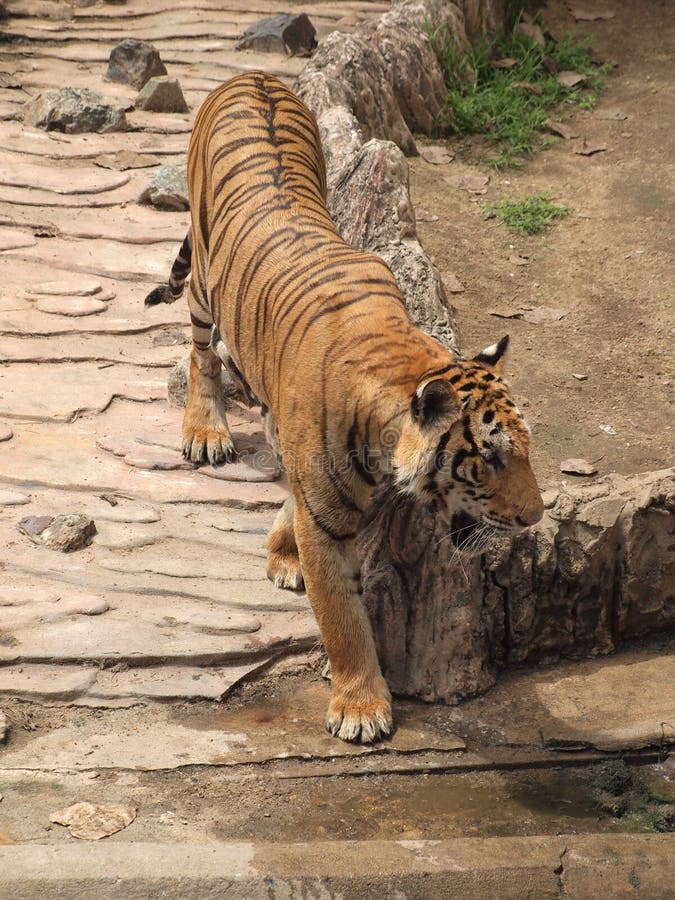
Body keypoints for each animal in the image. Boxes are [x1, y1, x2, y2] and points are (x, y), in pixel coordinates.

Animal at [145, 71, 544, 743]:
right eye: (489, 458)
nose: (535, 518)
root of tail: (253, 76)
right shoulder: (331, 521)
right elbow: (343, 617)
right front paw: (361, 709)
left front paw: (282, 551)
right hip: (203, 277)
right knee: (200, 350)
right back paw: (205, 429)